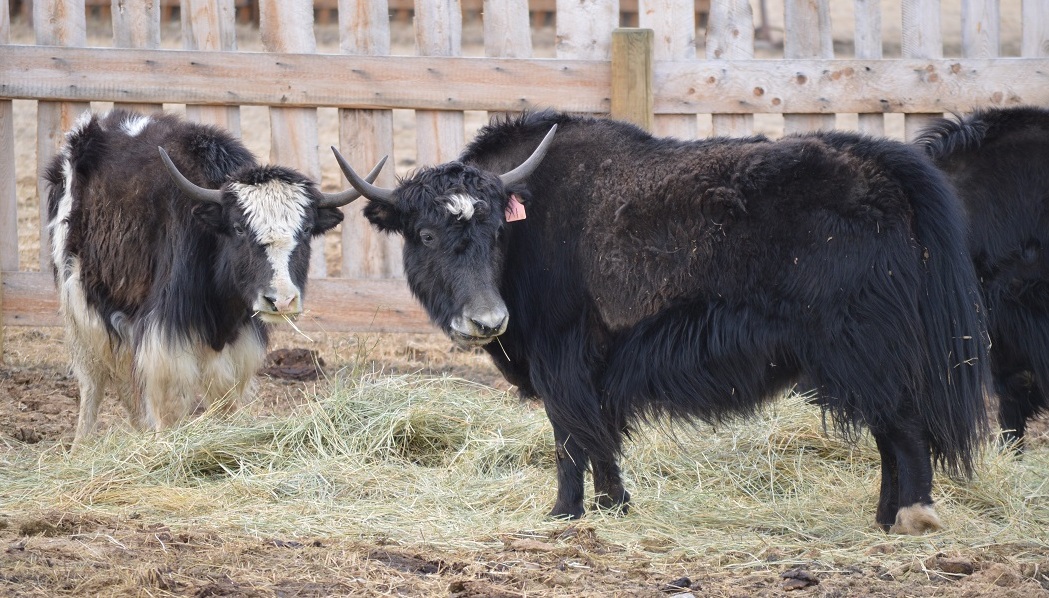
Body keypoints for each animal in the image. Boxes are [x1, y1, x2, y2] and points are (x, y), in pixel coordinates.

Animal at [45, 109, 383, 444]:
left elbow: (225, 401)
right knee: (95, 377)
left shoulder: (237, 341)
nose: (282, 301)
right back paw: (83, 443)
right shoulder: (166, 338)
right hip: (80, 301)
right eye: (239, 228)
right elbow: (170, 406)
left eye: (307, 230)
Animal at [332, 110, 990, 534]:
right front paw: (614, 505)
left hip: (861, 345)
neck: (532, 224)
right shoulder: (596, 368)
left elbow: (569, 433)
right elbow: (599, 436)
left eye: (496, 231)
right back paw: (883, 518)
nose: (487, 320)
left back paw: (913, 517)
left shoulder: (560, 356)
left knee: (903, 424)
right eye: (425, 234)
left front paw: (564, 513)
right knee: (889, 431)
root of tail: (884, 163)